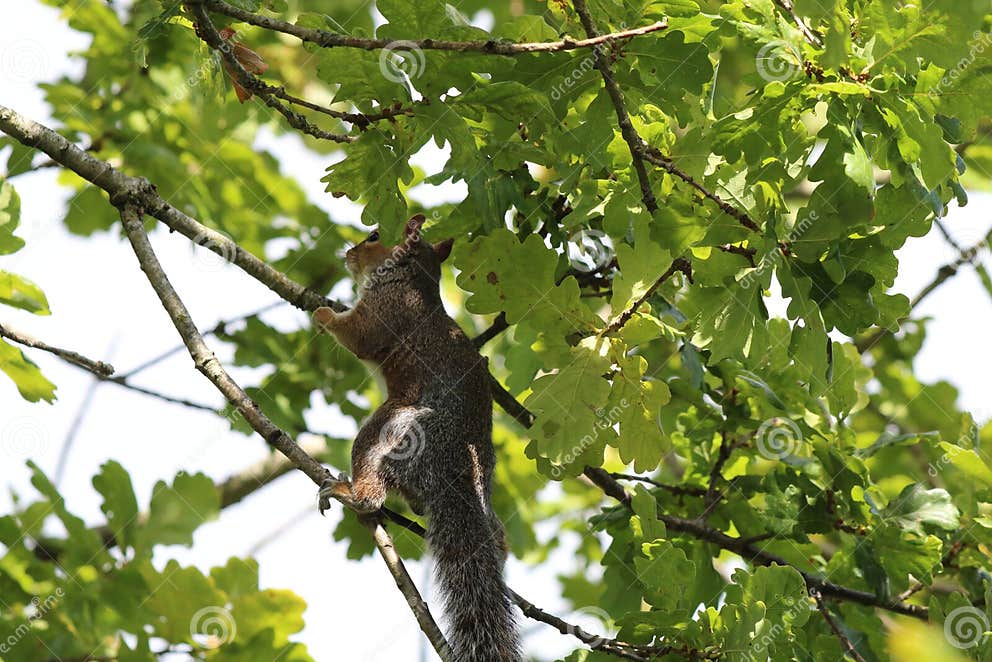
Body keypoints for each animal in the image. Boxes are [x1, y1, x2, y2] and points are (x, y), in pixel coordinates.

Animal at [314, 214, 521, 662]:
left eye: (374, 236)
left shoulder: (386, 311)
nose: (347, 253)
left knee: (372, 490)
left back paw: (347, 491)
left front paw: (323, 313)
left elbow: (357, 335)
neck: (413, 279)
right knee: (497, 537)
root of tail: (460, 467)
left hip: (394, 429)